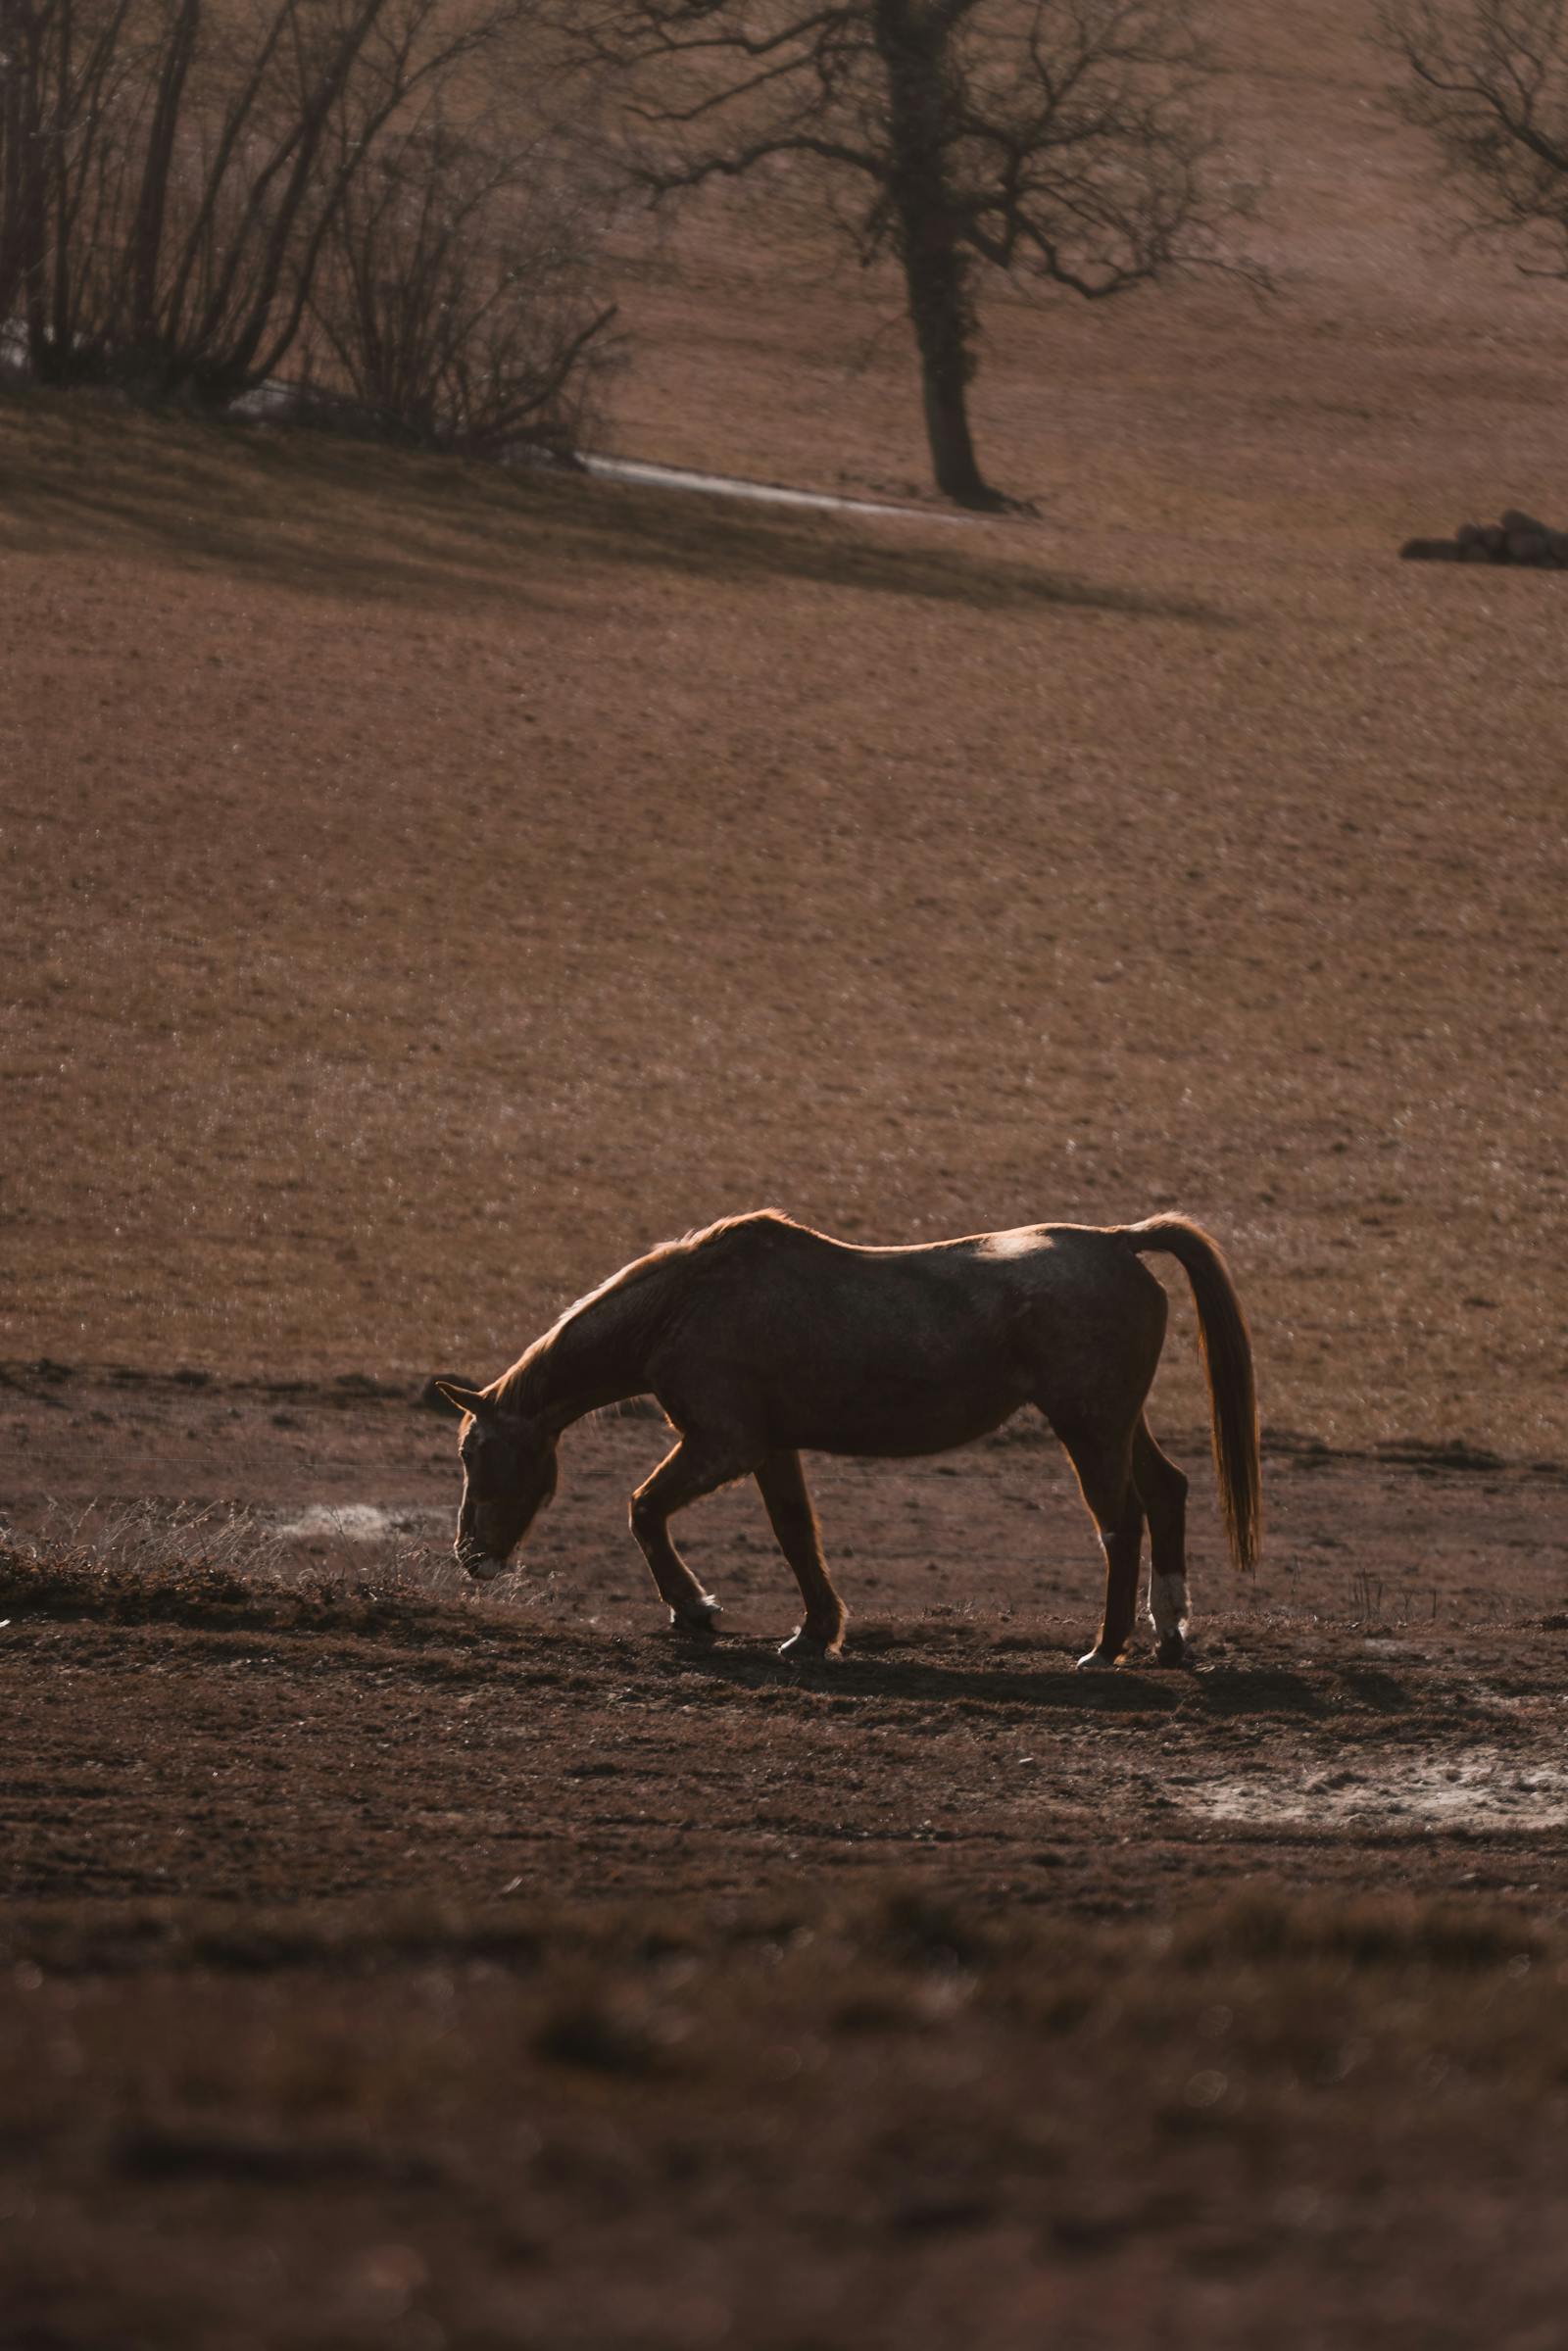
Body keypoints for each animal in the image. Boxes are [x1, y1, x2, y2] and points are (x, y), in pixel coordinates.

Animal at [436, 1208, 1260, 1669]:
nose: (471, 1556)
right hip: (1117, 1423)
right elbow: (796, 1533)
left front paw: (694, 1609)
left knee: (1121, 1523)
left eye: (476, 1453)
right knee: (1166, 1493)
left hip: (1088, 1428)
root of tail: (1121, 1244)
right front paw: (815, 1633)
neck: (685, 1305)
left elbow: (643, 1508)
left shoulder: (723, 1443)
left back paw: (1105, 1647)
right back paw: (1169, 1634)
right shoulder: (770, 1448)